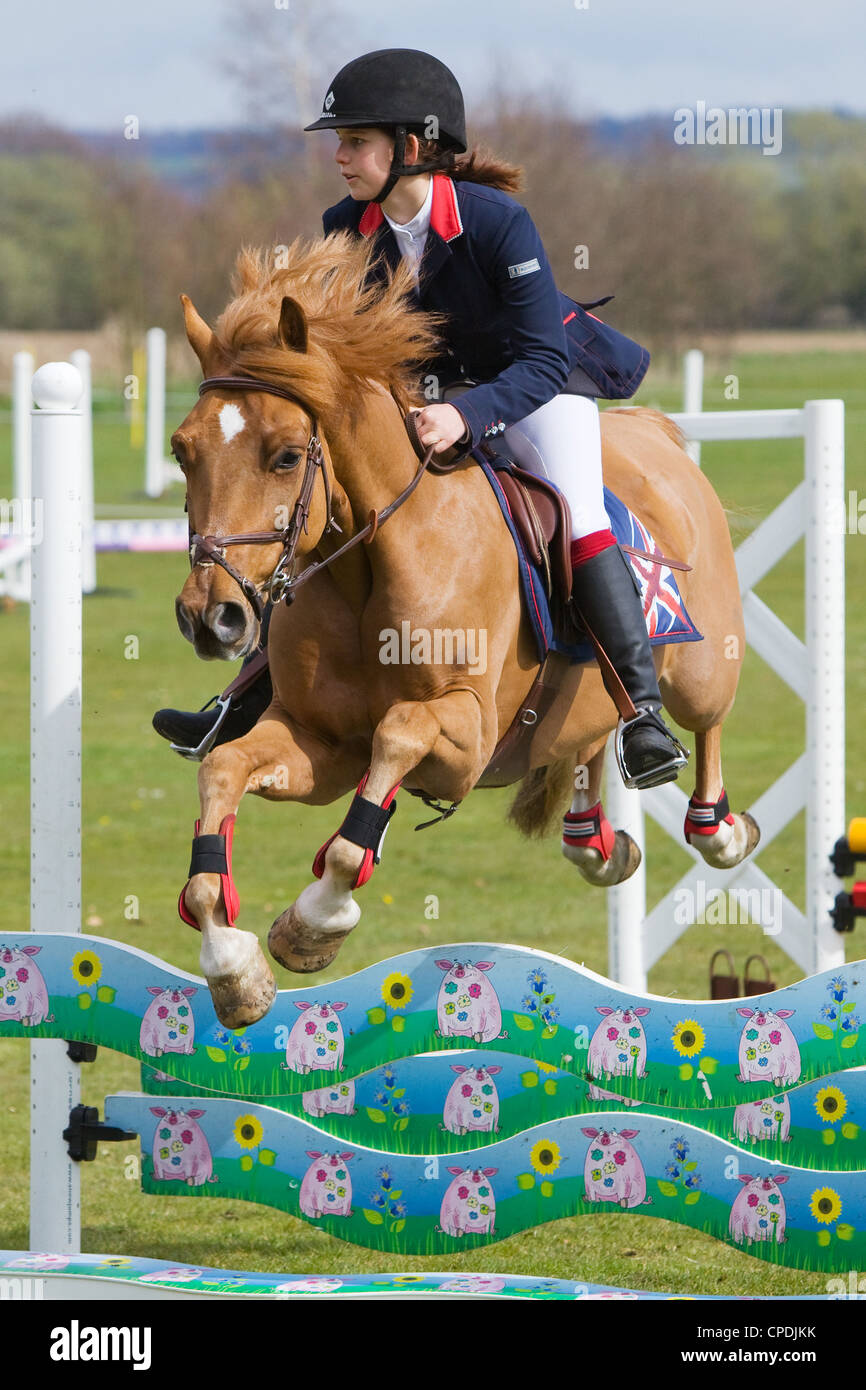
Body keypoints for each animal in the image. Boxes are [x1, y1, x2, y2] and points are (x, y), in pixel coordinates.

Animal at [169, 234, 759, 1029]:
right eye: (182, 452)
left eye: (287, 456)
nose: (212, 618)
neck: (369, 567)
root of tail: (654, 432)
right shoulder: (319, 744)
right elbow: (224, 770)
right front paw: (232, 964)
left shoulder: (467, 737)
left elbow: (395, 740)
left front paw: (316, 921)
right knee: (587, 737)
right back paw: (595, 842)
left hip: (701, 671)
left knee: (704, 725)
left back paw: (715, 823)